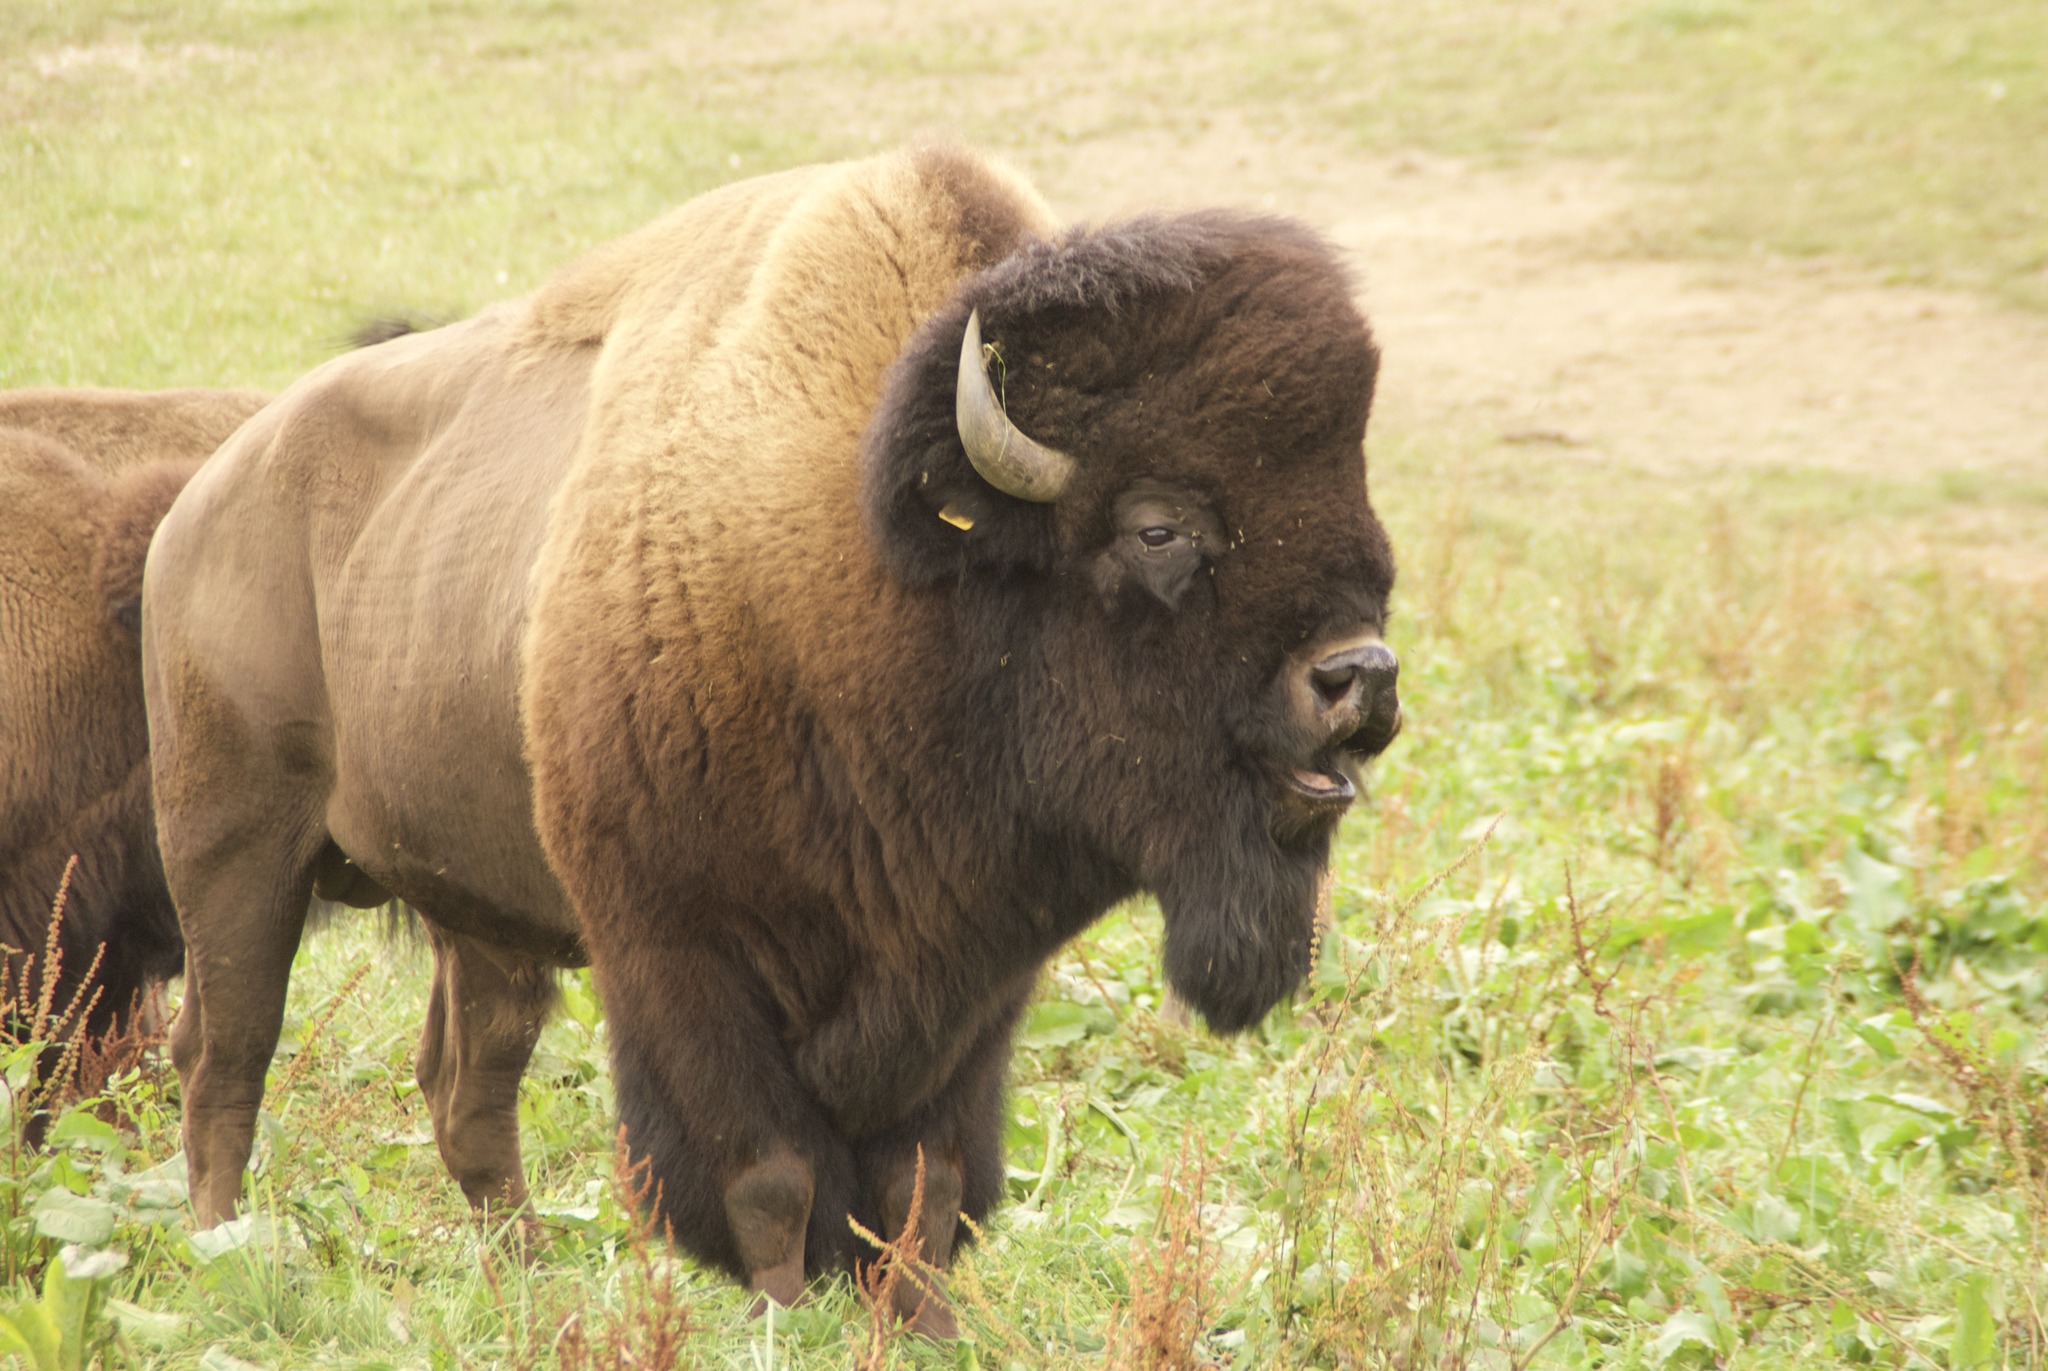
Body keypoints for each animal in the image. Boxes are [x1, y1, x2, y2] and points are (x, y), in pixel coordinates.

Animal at [143, 147, 1400, 1331]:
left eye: (1362, 507)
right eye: (1156, 528)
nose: (1359, 678)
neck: (878, 564)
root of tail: (207, 499)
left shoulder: (970, 978)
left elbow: (923, 1183)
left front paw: (923, 1325)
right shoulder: (682, 957)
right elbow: (769, 1176)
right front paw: (780, 1315)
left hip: (479, 916)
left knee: (466, 1091)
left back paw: (527, 1287)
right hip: (236, 855)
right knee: (225, 1061)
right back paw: (225, 1262)